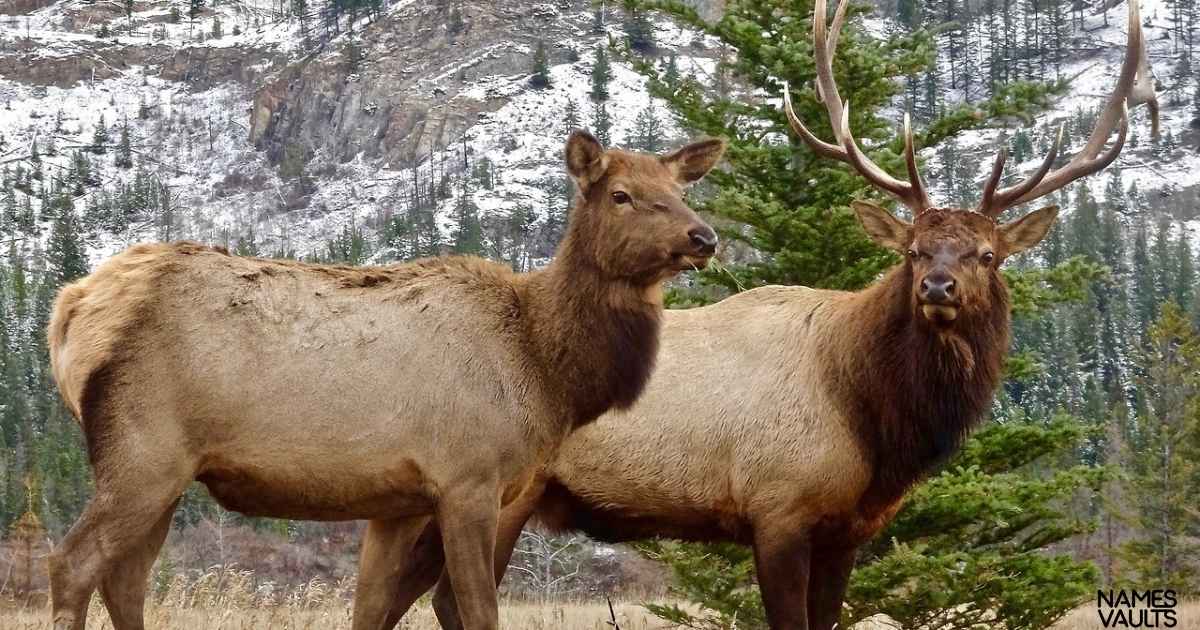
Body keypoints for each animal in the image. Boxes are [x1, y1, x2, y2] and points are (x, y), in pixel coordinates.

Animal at [44, 130, 725, 630]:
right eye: (621, 194)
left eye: (680, 188)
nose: (704, 236)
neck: (543, 369)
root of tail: (71, 307)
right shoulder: (468, 478)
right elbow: (475, 610)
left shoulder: (398, 502)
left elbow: (370, 610)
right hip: (143, 450)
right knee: (72, 564)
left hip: (163, 469)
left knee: (125, 577)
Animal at [368, 1, 1159, 629]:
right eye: (912, 250)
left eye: (988, 255)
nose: (937, 286)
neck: (870, 417)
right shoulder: (777, 508)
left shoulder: (848, 530)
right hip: (502, 486)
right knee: (445, 599)